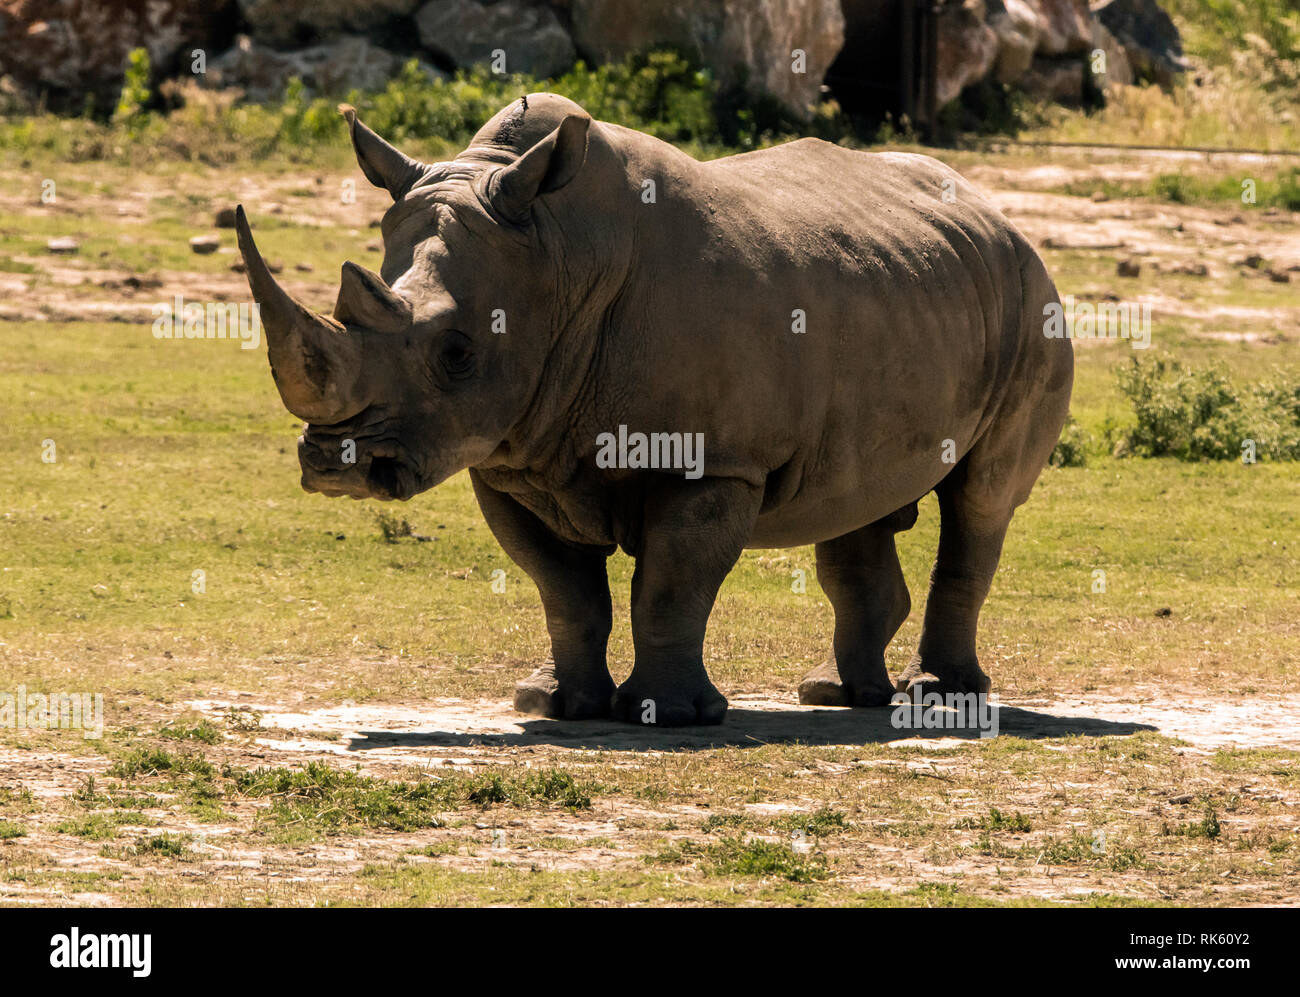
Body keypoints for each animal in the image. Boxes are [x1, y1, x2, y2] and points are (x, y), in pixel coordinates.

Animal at [235, 93, 1073, 726]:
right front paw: (553, 703)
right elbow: (565, 590)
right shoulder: (511, 459)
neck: (556, 255)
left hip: (1033, 300)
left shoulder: (713, 462)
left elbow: (670, 585)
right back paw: (839, 695)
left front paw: (668, 715)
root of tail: (999, 215)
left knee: (981, 500)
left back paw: (940, 697)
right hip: (904, 293)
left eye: (457, 353)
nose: (335, 464)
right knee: (857, 496)